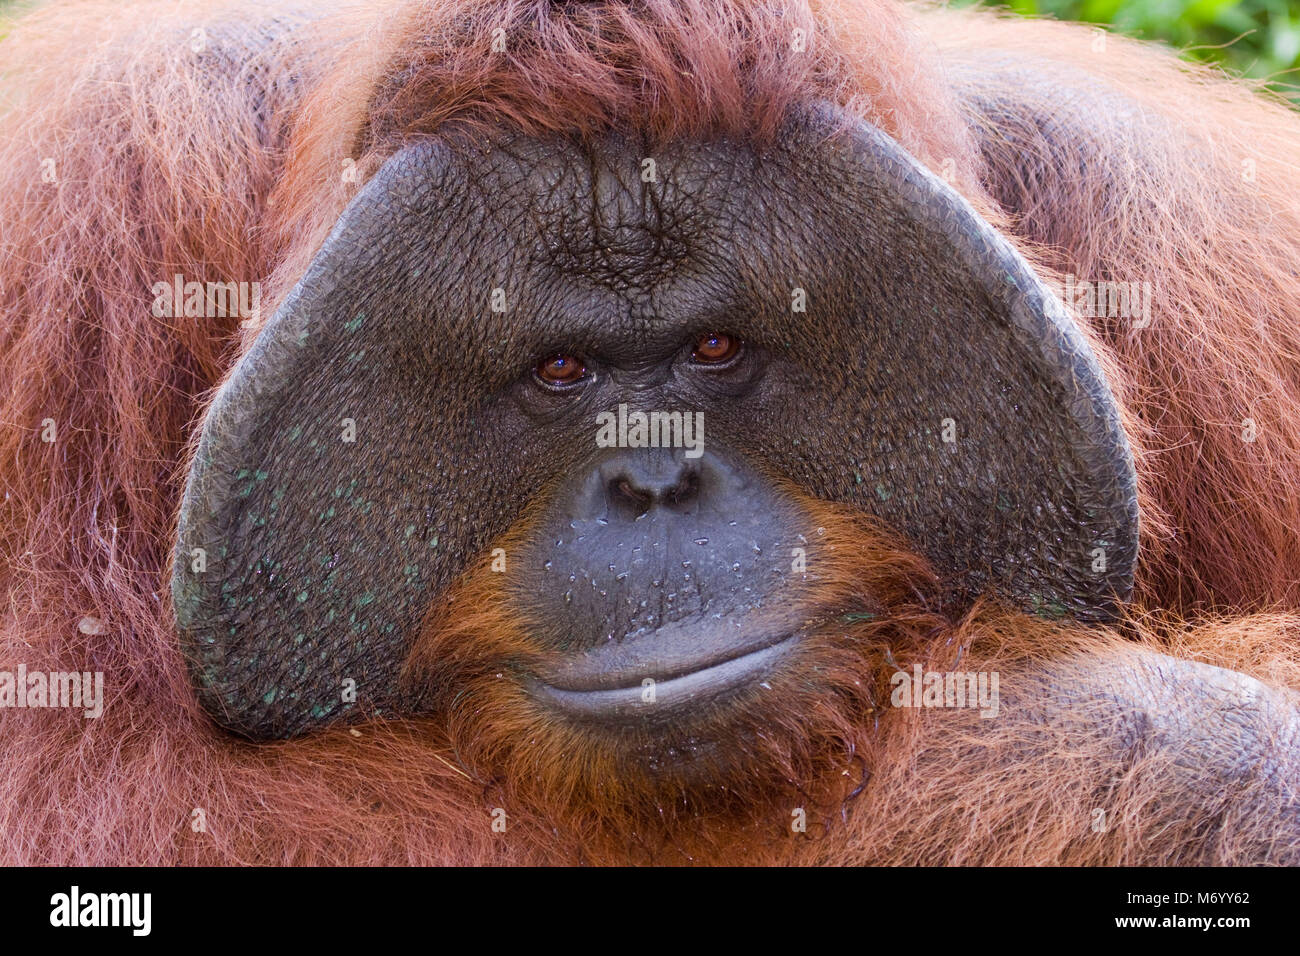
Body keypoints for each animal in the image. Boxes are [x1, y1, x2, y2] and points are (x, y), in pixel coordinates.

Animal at [1, 0, 1298, 865]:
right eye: (561, 369)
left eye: (713, 349)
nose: (656, 482)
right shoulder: (76, 227)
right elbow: (96, 786)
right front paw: (1177, 744)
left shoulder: (1183, 226)